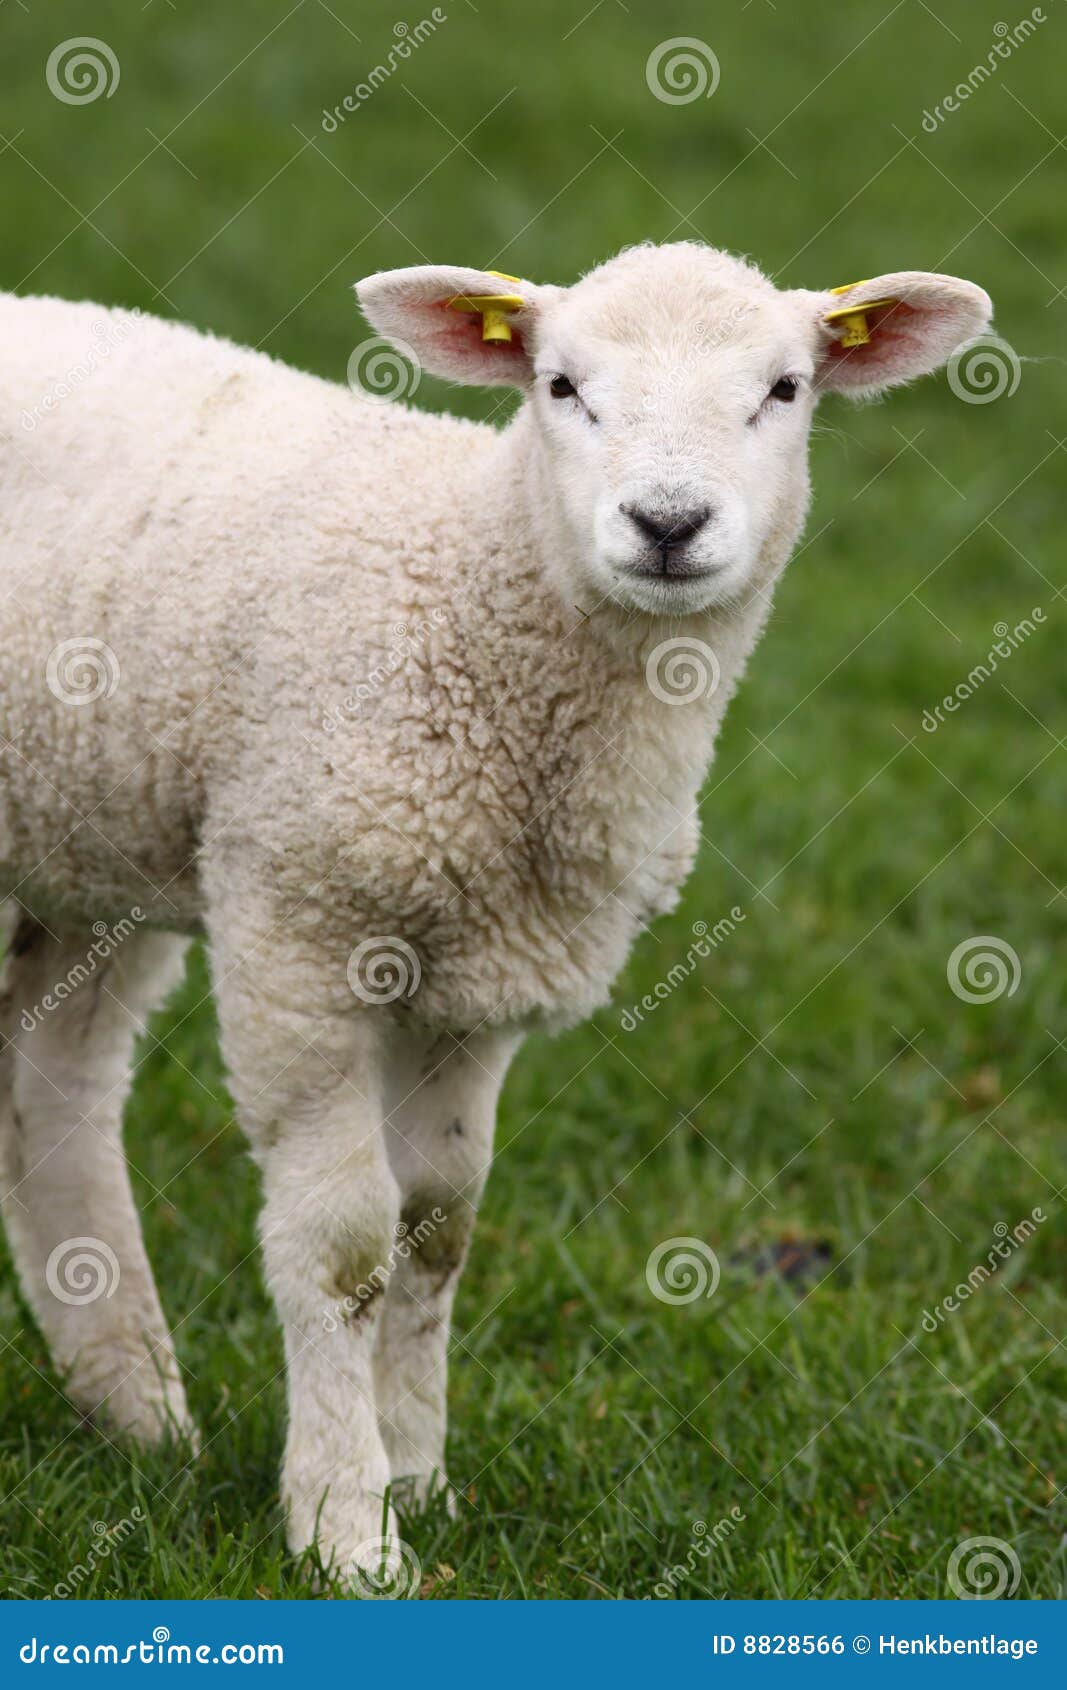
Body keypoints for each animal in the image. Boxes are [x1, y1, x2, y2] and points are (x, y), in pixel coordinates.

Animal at [0, 242, 991, 1581]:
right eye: (558, 385)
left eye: (784, 389)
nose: (666, 524)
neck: (467, 585)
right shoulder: (297, 926)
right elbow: (343, 1245)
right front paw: (343, 1528)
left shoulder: (474, 974)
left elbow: (435, 1229)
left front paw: (419, 1481)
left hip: (90, 823)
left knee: (53, 1085)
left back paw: (135, 1410)